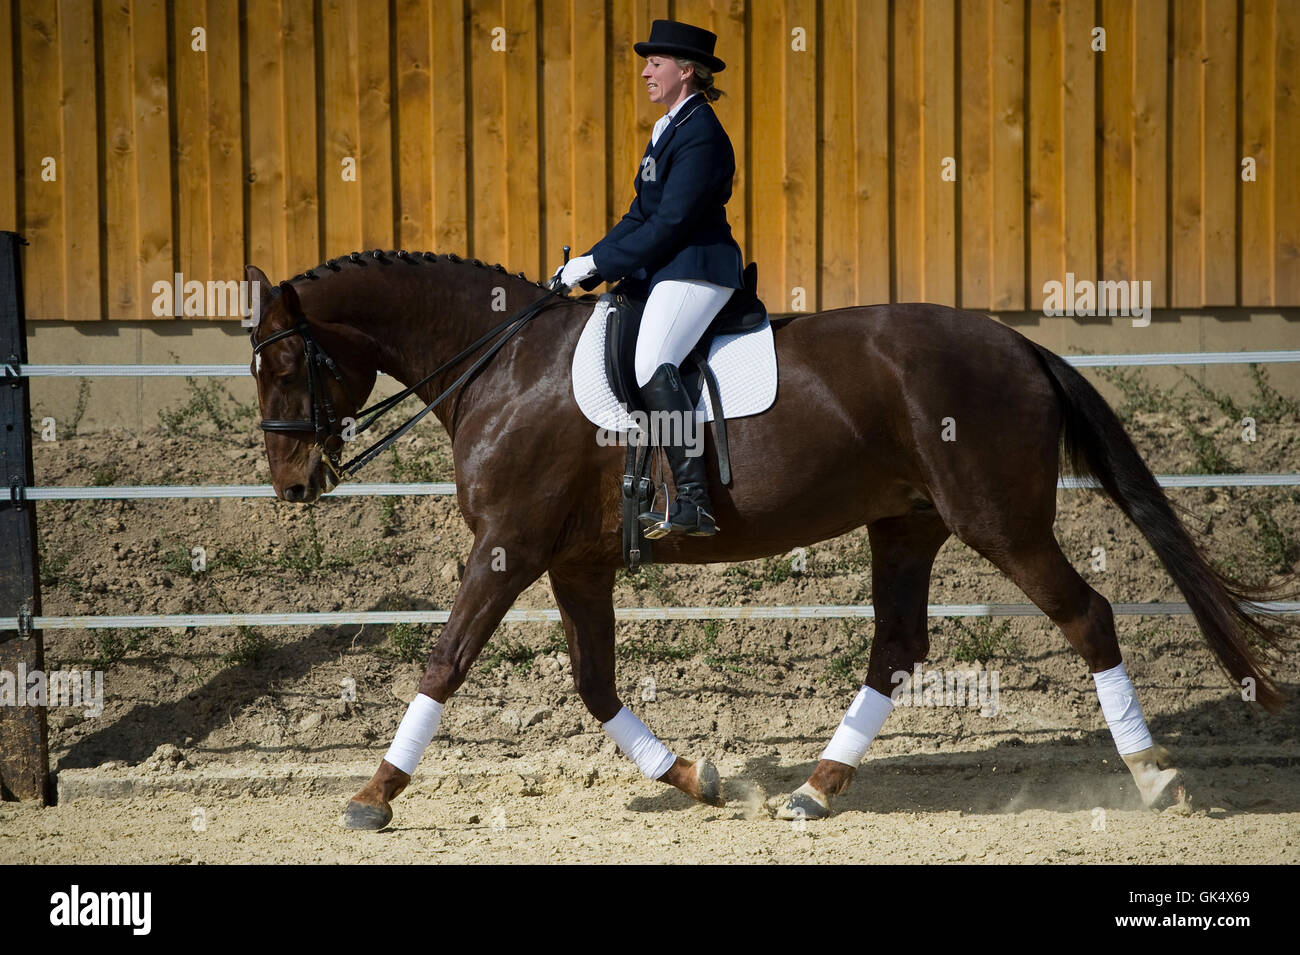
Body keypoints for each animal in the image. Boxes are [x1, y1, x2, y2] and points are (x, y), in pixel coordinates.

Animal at [244, 251, 1290, 830]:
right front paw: (693, 777)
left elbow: (446, 660)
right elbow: (595, 685)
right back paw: (816, 790)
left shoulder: (509, 546)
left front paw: (375, 793)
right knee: (897, 646)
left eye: (287, 363)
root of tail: (1022, 346)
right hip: (906, 523)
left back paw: (1154, 777)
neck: (504, 363)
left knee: (1087, 614)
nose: (292, 486)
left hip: (999, 522)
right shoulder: (575, 561)